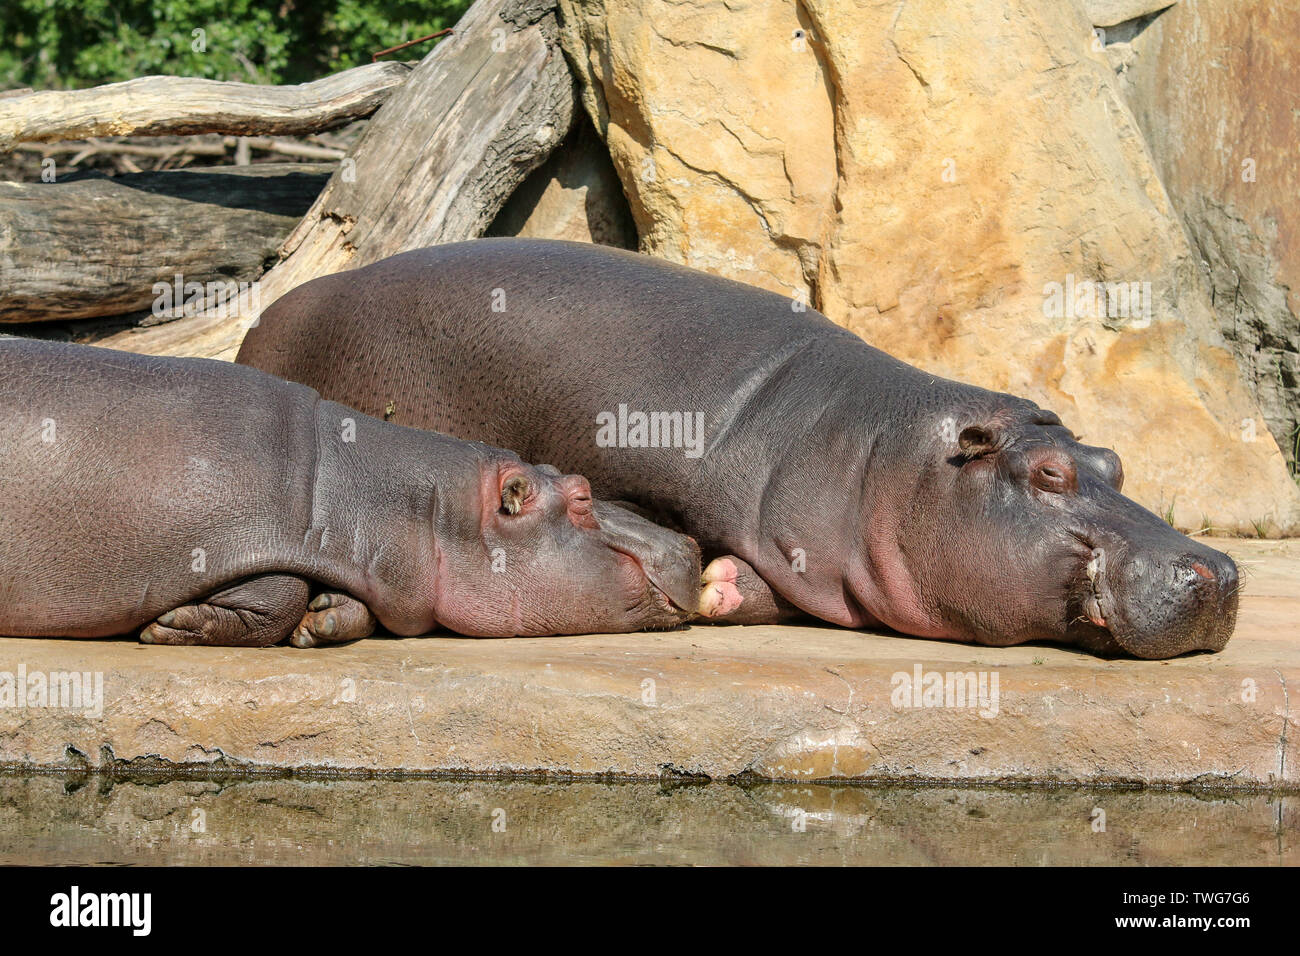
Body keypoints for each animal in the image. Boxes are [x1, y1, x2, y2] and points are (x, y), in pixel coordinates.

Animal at [236, 238, 1240, 658]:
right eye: (1049, 474)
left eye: (1115, 464)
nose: (1220, 570)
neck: (880, 457)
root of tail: (268, 317)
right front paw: (713, 584)